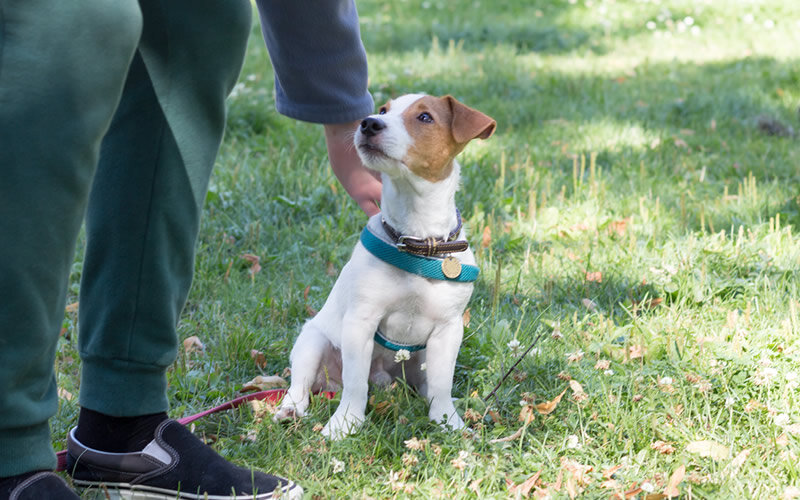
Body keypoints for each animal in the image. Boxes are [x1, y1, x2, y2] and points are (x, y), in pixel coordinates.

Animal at [278, 94, 496, 438]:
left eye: (425, 117)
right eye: (383, 110)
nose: (368, 123)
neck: (418, 240)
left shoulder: (448, 330)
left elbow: (441, 385)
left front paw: (448, 421)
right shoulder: (360, 322)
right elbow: (355, 384)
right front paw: (345, 424)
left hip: (420, 358)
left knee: (427, 386)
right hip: (312, 341)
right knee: (300, 385)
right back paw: (290, 409)